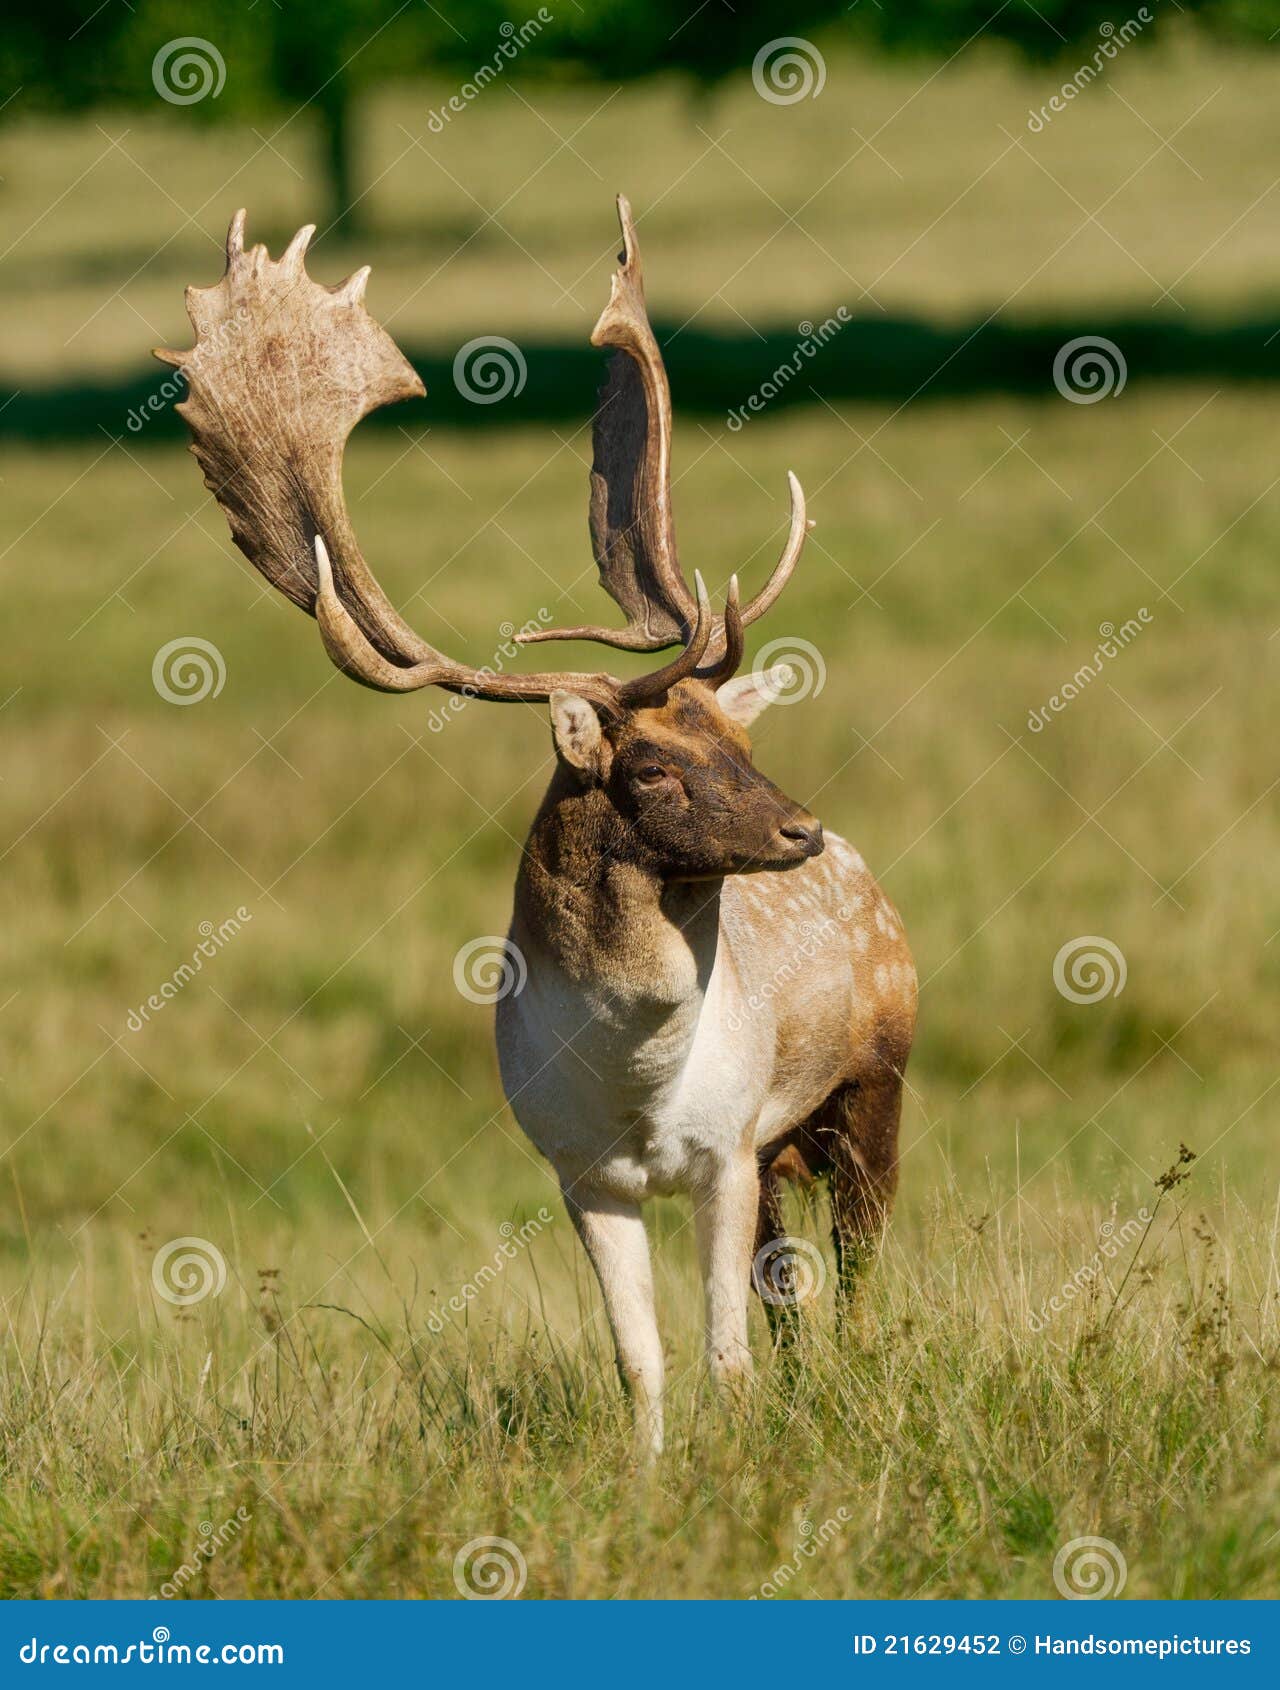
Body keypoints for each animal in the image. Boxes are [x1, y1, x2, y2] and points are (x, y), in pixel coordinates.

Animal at [160, 197, 916, 1457]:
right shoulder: (578, 1170)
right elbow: (642, 1356)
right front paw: (653, 1472)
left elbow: (723, 1349)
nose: (799, 830)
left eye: (738, 738)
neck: (637, 1088)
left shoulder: (723, 1147)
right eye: (651, 766)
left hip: (871, 1075)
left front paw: (737, 1457)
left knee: (857, 1263)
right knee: (796, 1282)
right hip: (783, 1141)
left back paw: (862, 1375)